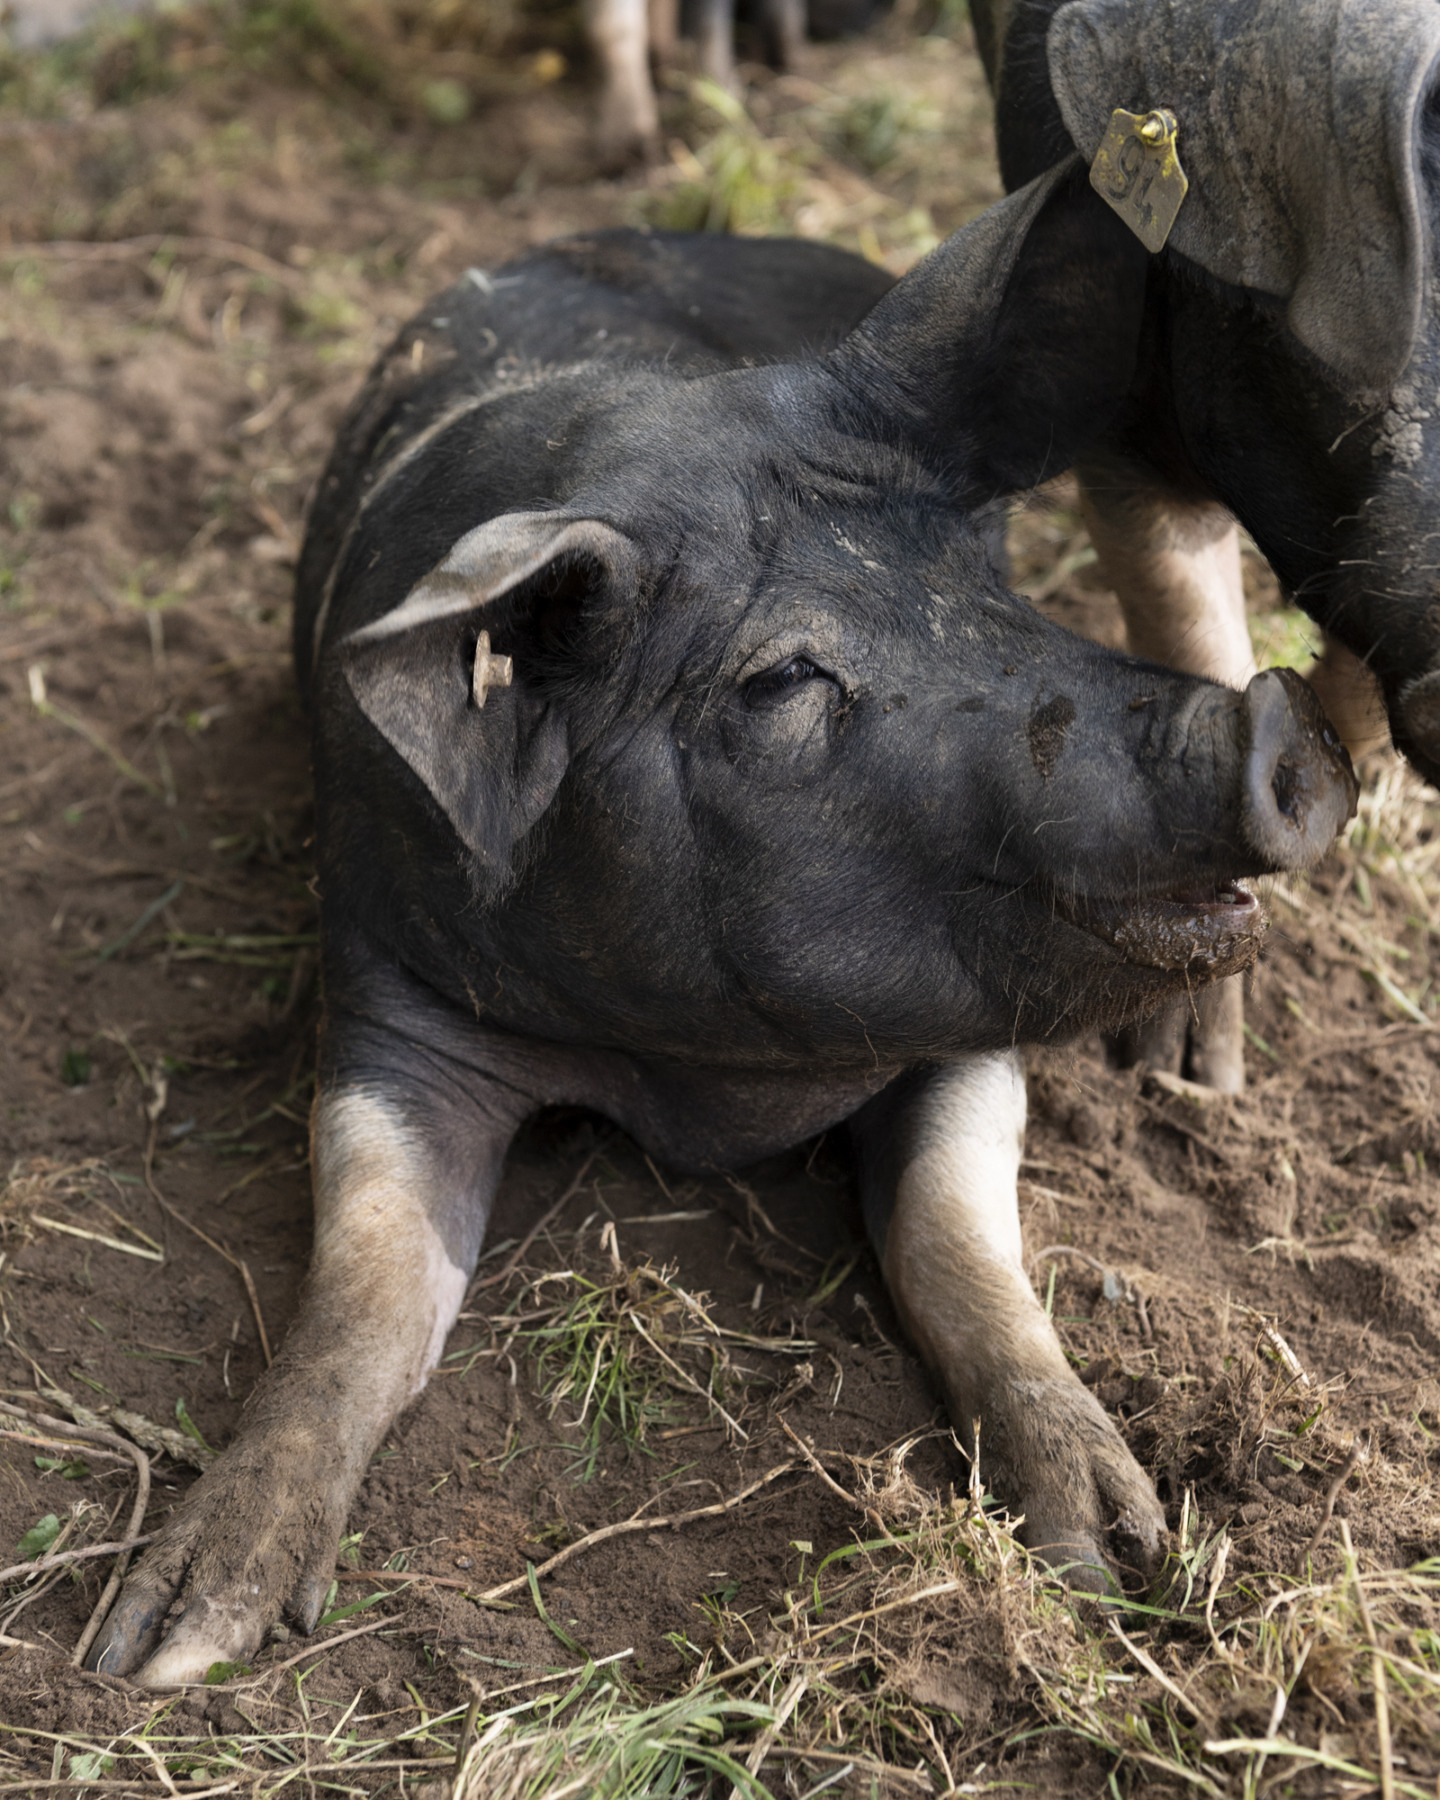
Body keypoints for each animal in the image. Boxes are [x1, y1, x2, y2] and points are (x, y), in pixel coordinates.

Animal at [85, 172, 1357, 1687]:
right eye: (785, 679)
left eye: (992, 594)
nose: (1280, 716)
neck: (700, 1083)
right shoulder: (390, 993)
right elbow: (368, 1284)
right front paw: (160, 1652)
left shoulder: (966, 1027)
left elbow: (955, 1234)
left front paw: (1120, 1557)